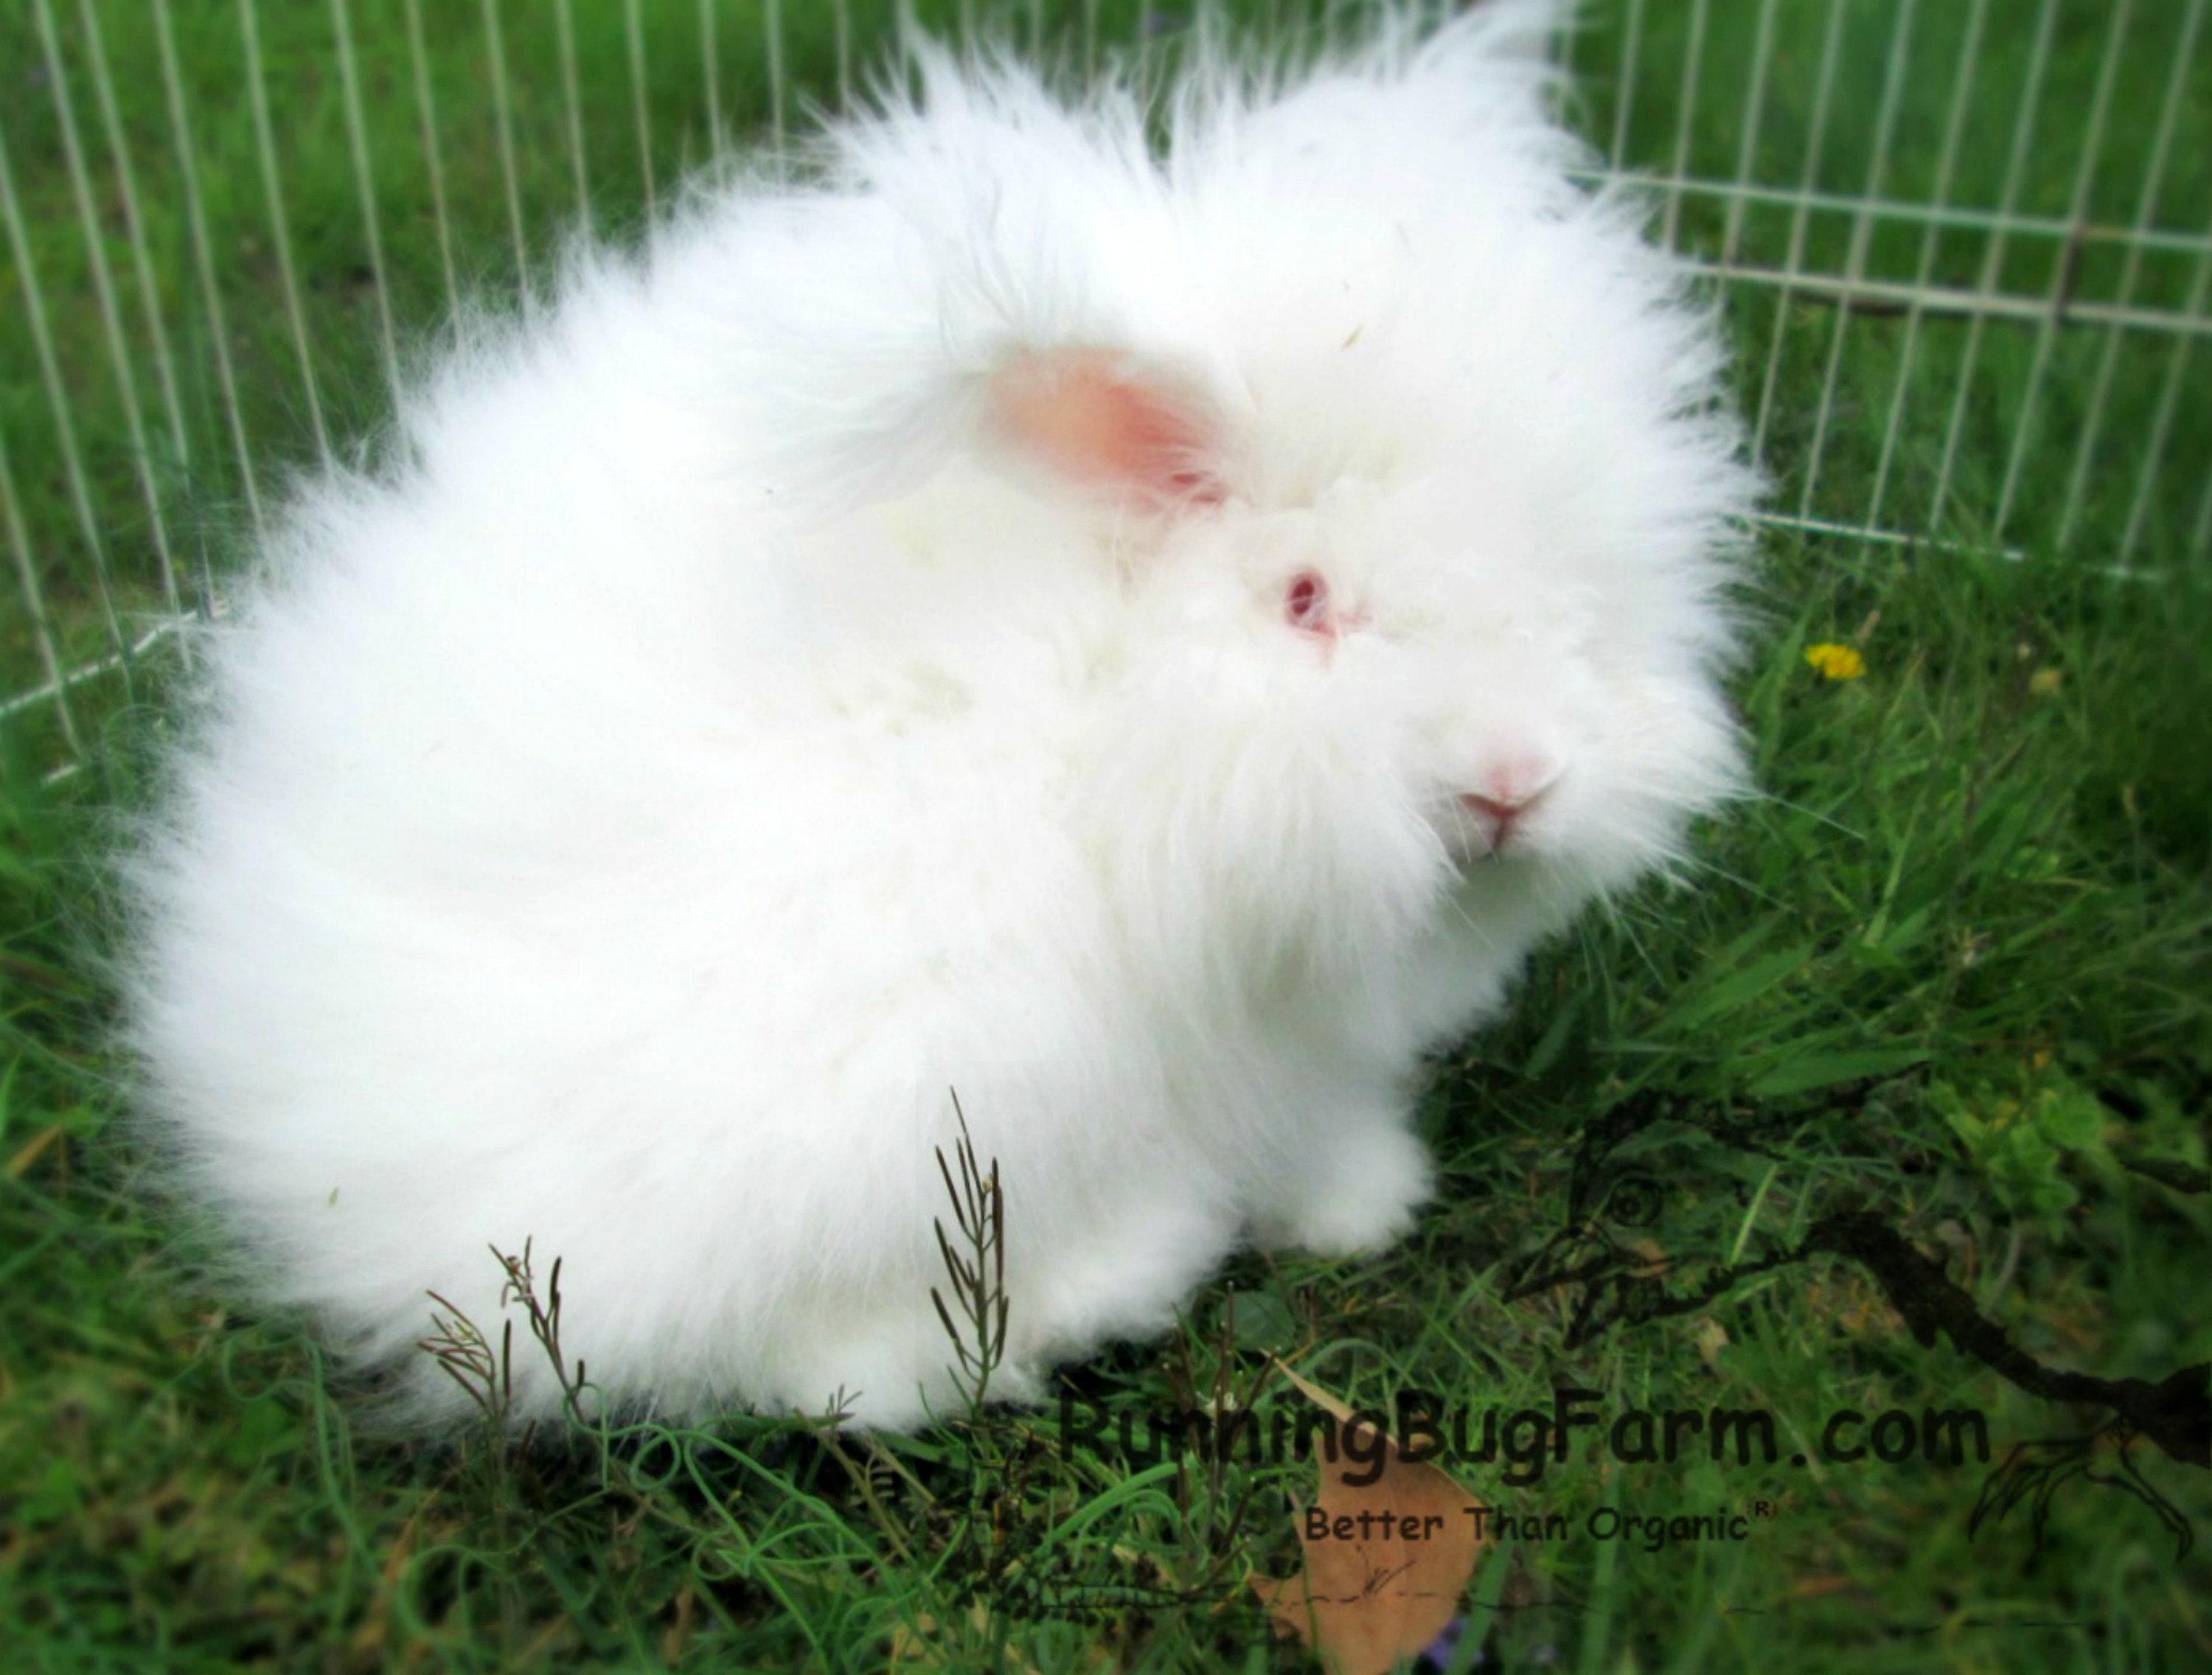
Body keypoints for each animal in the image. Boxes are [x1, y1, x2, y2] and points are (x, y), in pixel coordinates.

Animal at [122, 0, 1755, 1433]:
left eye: (1574, 597)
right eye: (1306, 598)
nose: (1517, 782)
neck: (1104, 696)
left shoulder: (1294, 1054)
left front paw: (1361, 1209)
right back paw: (1097, 1288)